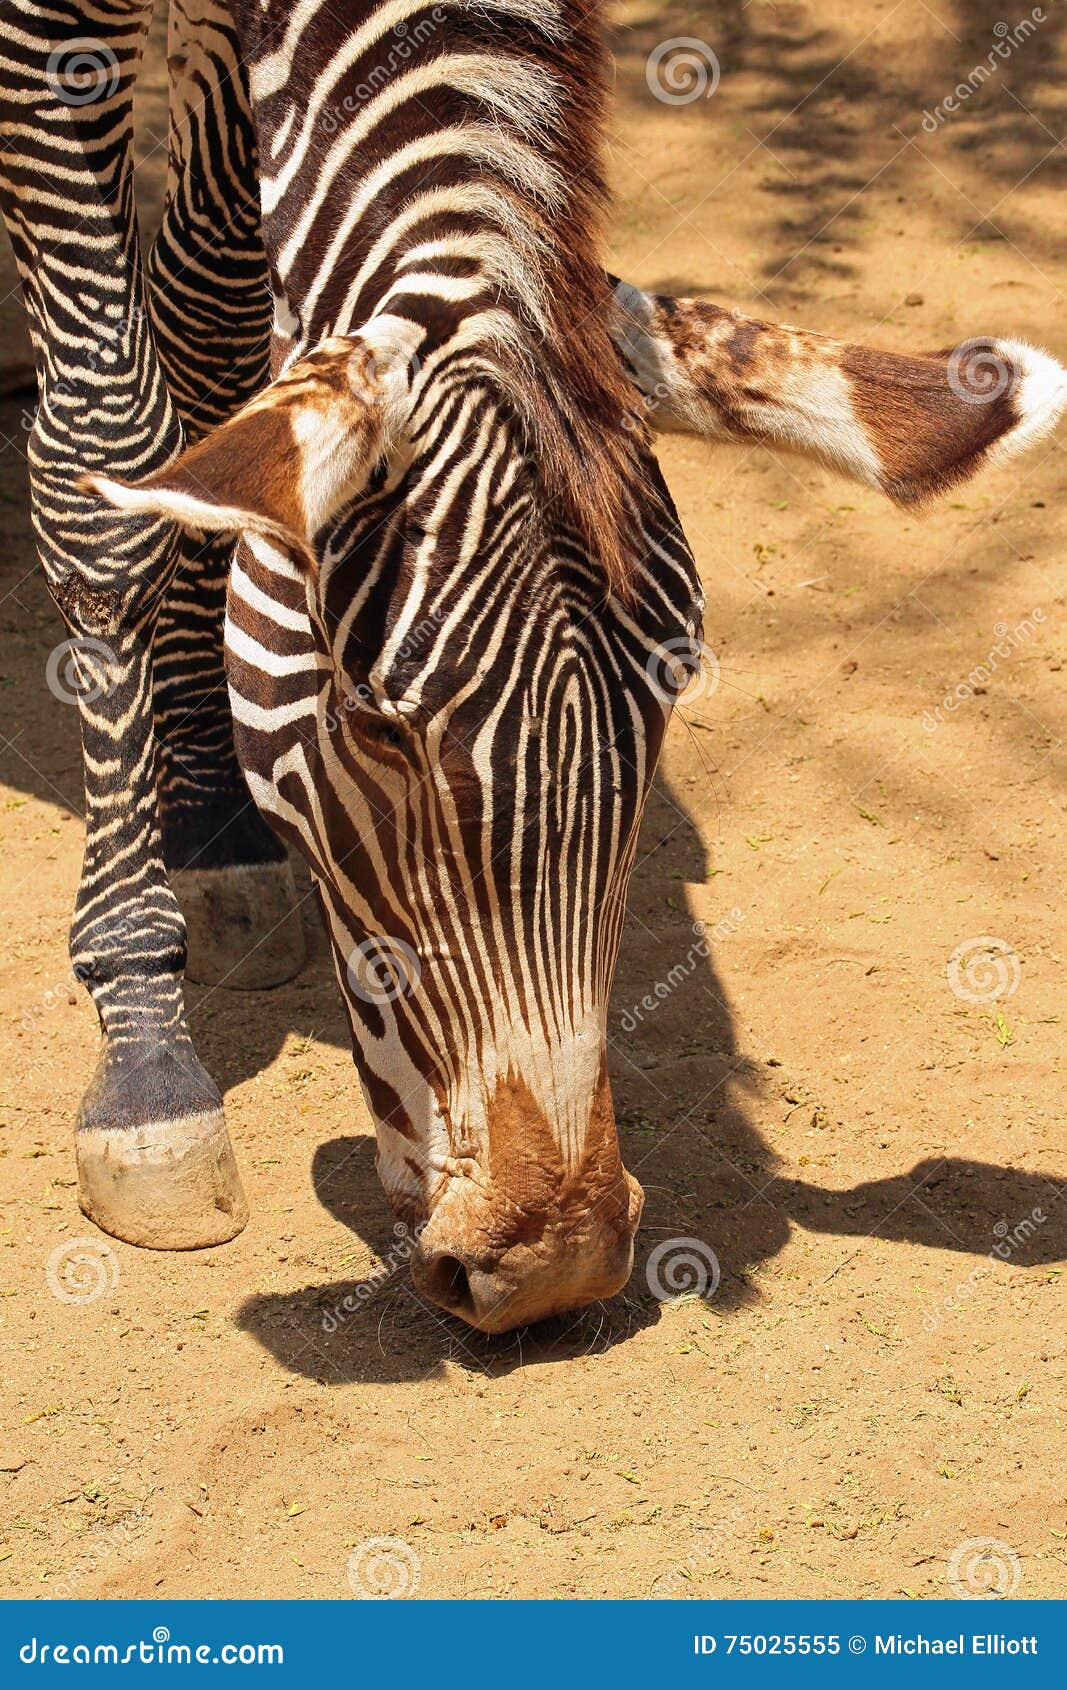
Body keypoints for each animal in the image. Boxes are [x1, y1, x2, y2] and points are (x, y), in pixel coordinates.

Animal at [5, 0, 1064, 1330]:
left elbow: (209, 331)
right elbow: (103, 447)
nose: (549, 1265)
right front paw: (145, 1041)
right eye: (374, 723)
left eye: (672, 693)